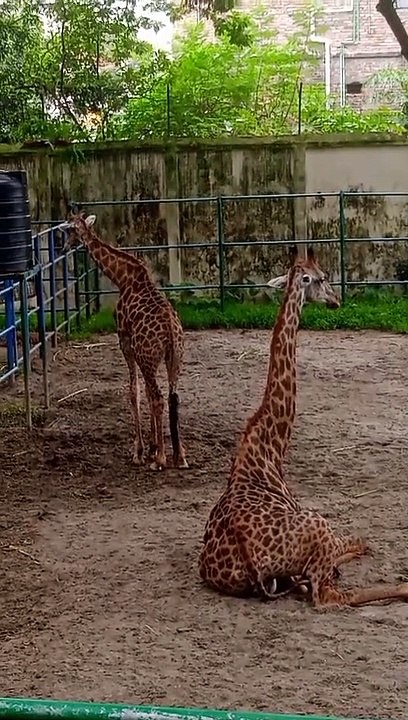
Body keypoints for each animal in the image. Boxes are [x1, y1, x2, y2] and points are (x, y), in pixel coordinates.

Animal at [60, 212, 188, 471]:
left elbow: (134, 391)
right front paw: (152, 447)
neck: (122, 277)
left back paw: (160, 460)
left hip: (148, 356)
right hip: (174, 358)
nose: (64, 247)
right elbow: (144, 393)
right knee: (172, 398)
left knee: (158, 398)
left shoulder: (125, 340)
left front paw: (141, 452)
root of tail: (171, 331)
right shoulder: (140, 352)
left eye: (70, 230)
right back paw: (179, 456)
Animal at [199, 245, 408, 608]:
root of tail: (249, 562)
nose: (336, 300)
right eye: (321, 278)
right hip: (316, 523)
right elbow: (355, 543)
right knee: (329, 594)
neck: (270, 445)